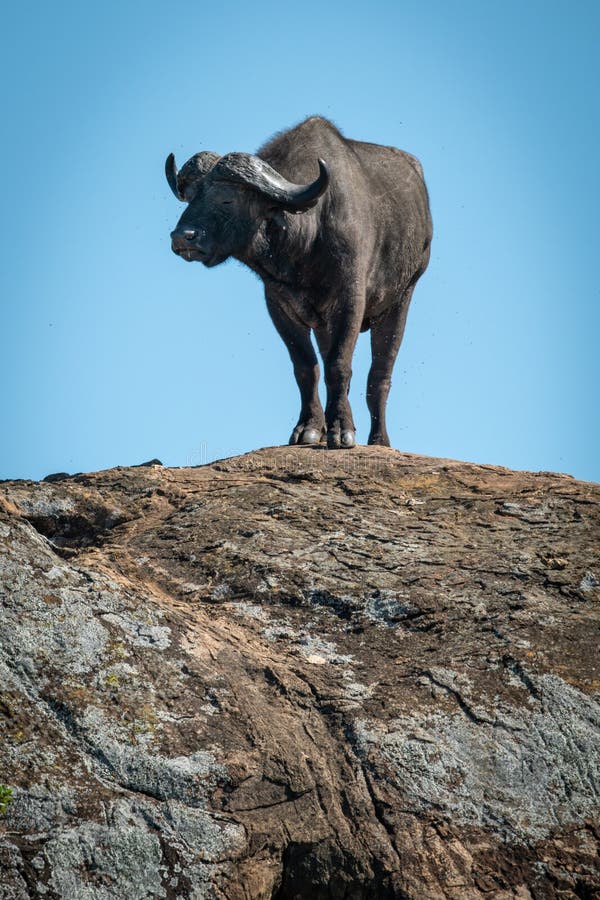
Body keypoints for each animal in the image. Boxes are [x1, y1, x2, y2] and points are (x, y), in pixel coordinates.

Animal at [166, 116, 432, 449]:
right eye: (190, 197)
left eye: (228, 198)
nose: (181, 237)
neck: (305, 244)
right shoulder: (279, 305)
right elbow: (307, 367)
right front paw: (310, 428)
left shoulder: (350, 299)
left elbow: (339, 365)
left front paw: (341, 430)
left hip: (401, 298)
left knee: (380, 375)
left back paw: (380, 440)